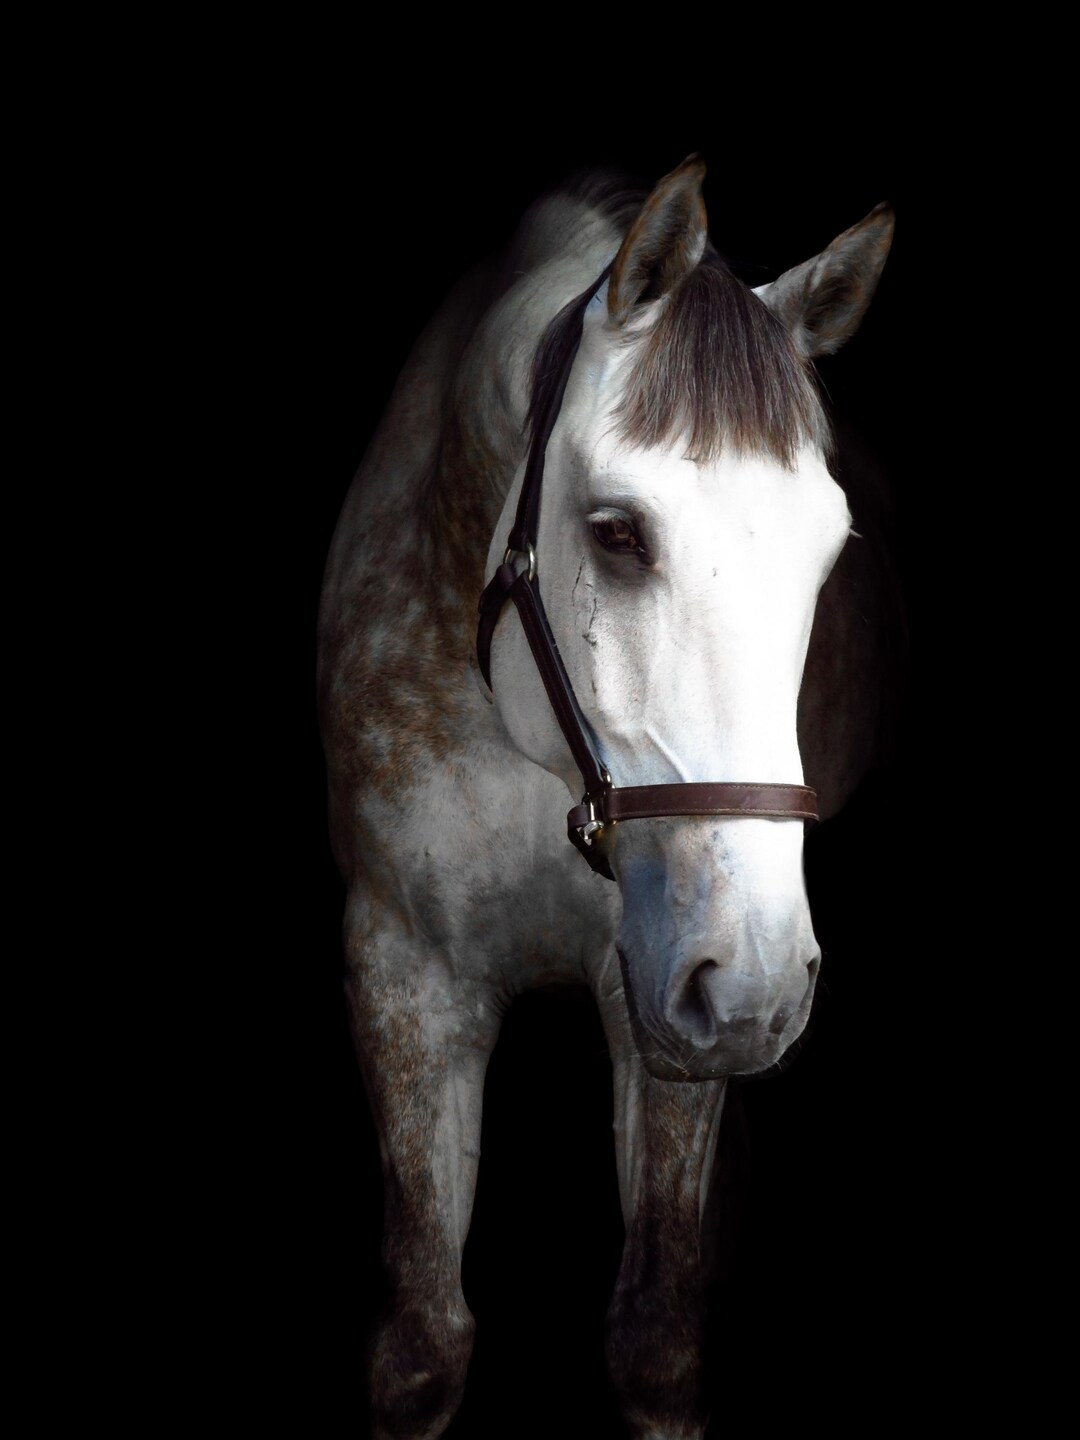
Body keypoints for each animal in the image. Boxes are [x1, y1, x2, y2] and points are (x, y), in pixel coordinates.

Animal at [317, 155, 896, 1439]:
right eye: (619, 534)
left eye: (832, 551)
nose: (760, 983)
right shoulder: (404, 971)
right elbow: (423, 1343)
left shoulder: (660, 1005)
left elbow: (655, 1337)